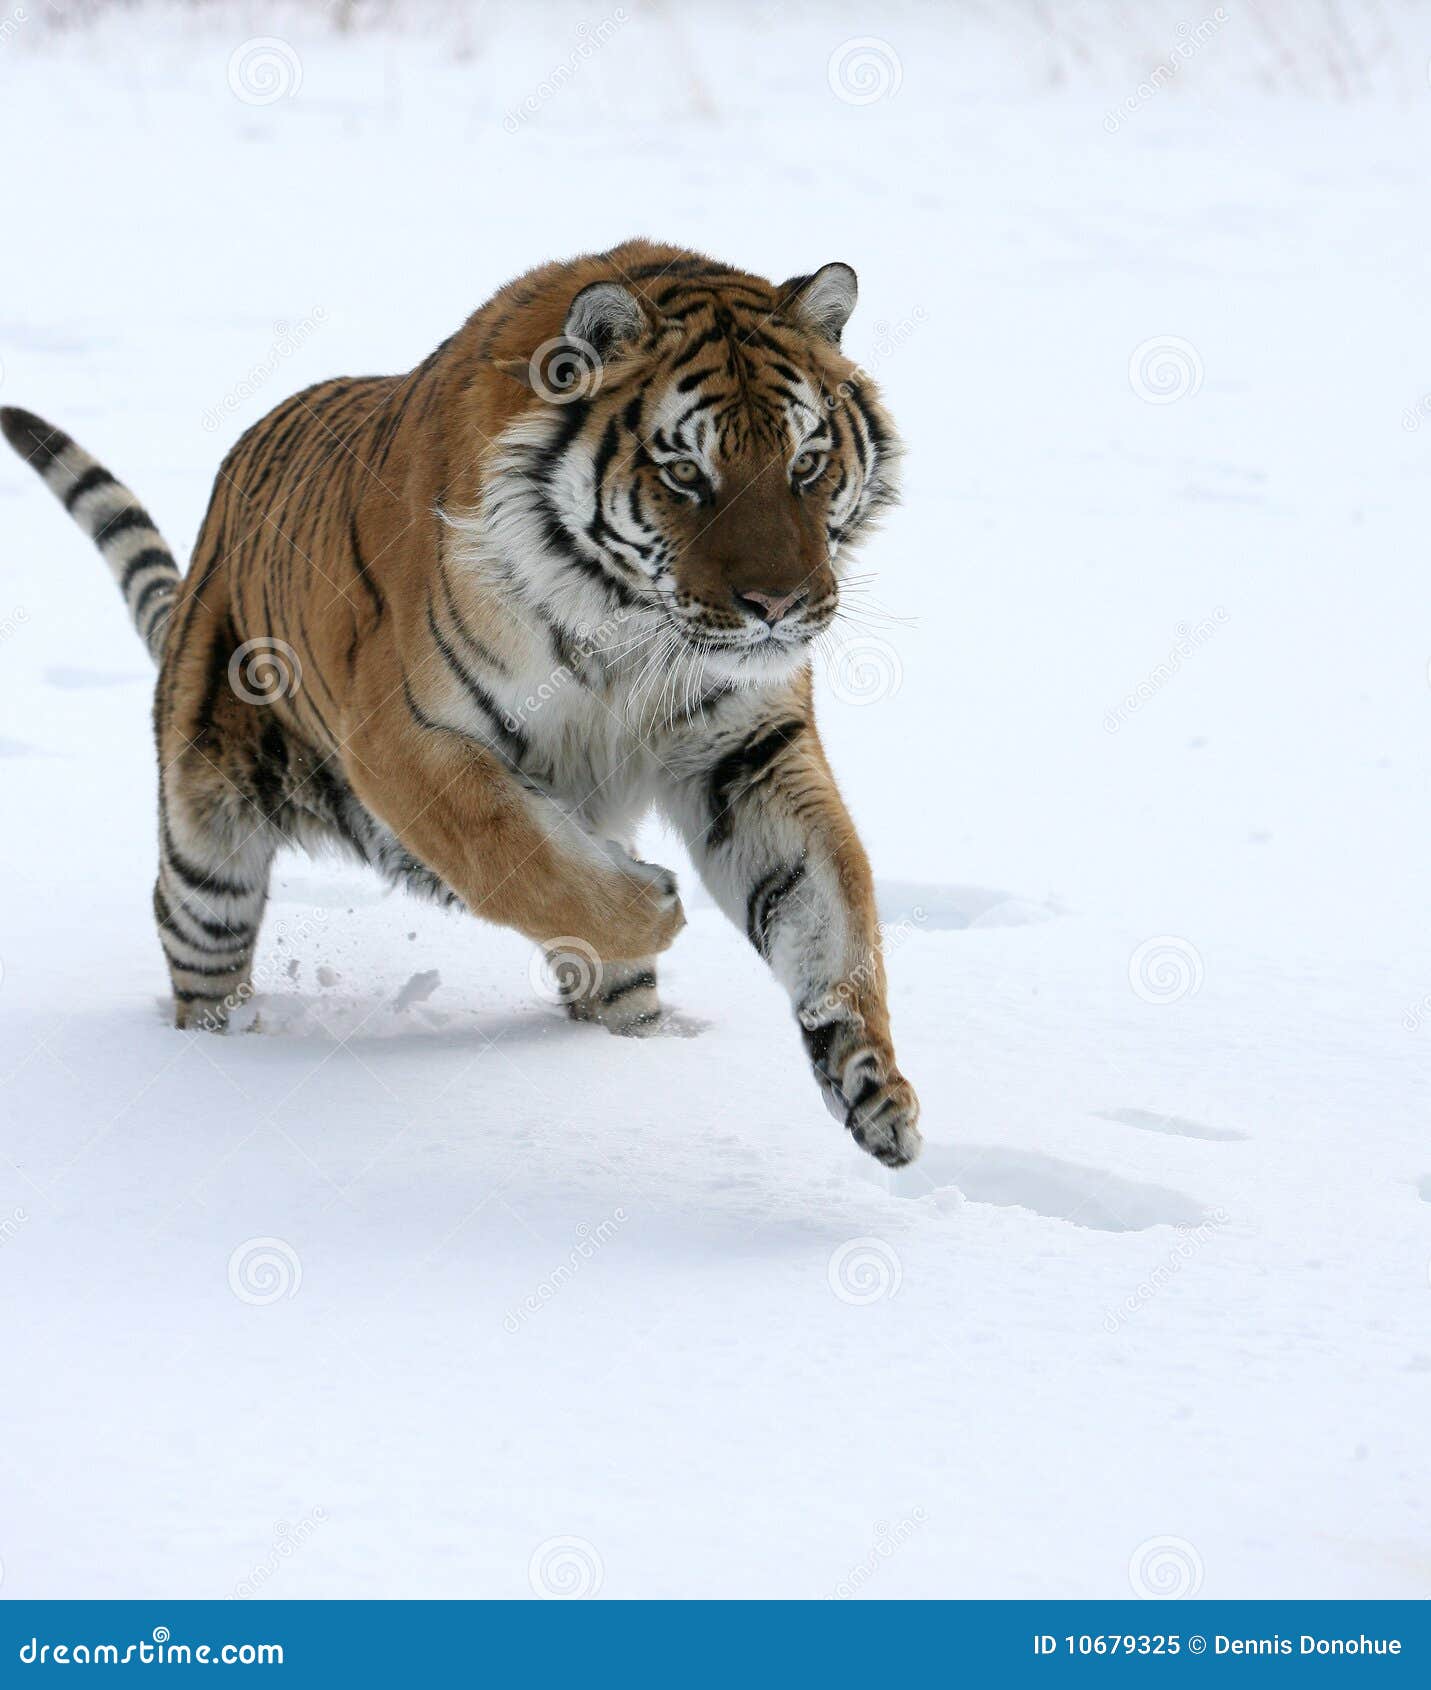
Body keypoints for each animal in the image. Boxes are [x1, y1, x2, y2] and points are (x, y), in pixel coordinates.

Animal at [1, 238, 922, 1167]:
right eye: (685, 473)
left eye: (805, 464)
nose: (777, 604)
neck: (628, 622)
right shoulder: (400, 737)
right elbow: (510, 849)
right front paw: (654, 906)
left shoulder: (747, 747)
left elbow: (829, 895)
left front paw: (870, 1083)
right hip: (205, 844)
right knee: (201, 951)